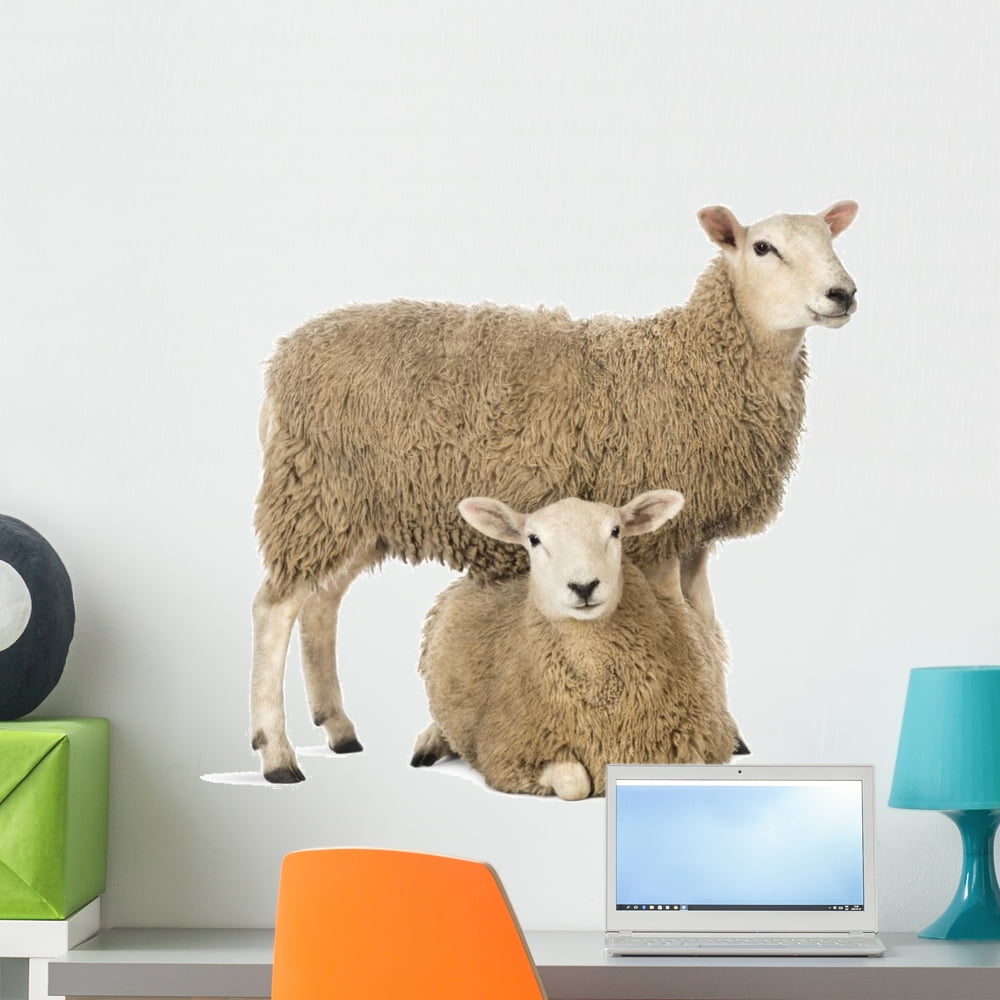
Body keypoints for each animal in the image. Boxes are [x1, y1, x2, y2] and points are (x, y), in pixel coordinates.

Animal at [411, 489, 741, 799]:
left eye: (615, 531)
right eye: (533, 539)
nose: (584, 586)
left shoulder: (689, 737)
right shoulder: (510, 753)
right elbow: (575, 783)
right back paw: (429, 744)